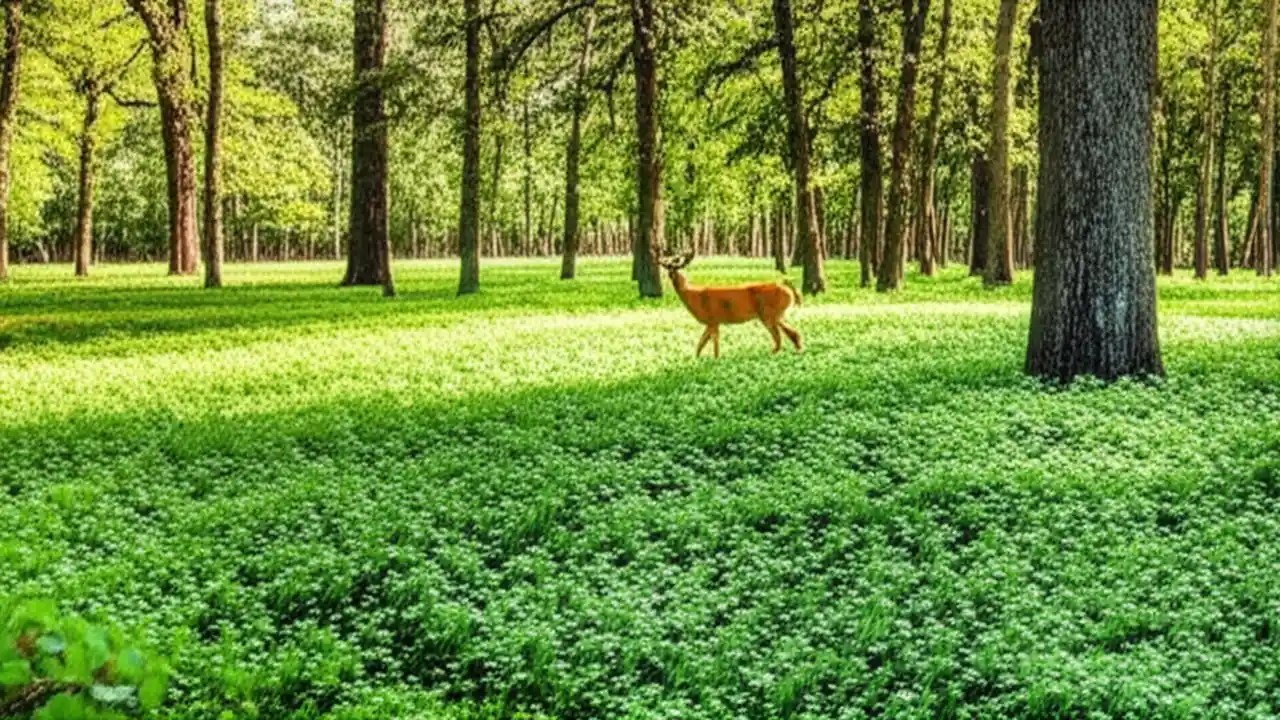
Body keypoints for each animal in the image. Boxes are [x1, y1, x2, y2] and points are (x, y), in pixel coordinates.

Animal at [655, 248, 803, 358]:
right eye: (668, 266)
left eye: (675, 266)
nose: (669, 273)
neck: (693, 295)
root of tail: (786, 286)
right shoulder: (711, 322)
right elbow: (700, 345)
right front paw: (696, 360)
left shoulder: (713, 319)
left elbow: (714, 346)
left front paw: (715, 360)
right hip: (777, 314)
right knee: (793, 334)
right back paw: (796, 349)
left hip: (768, 314)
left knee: (779, 337)